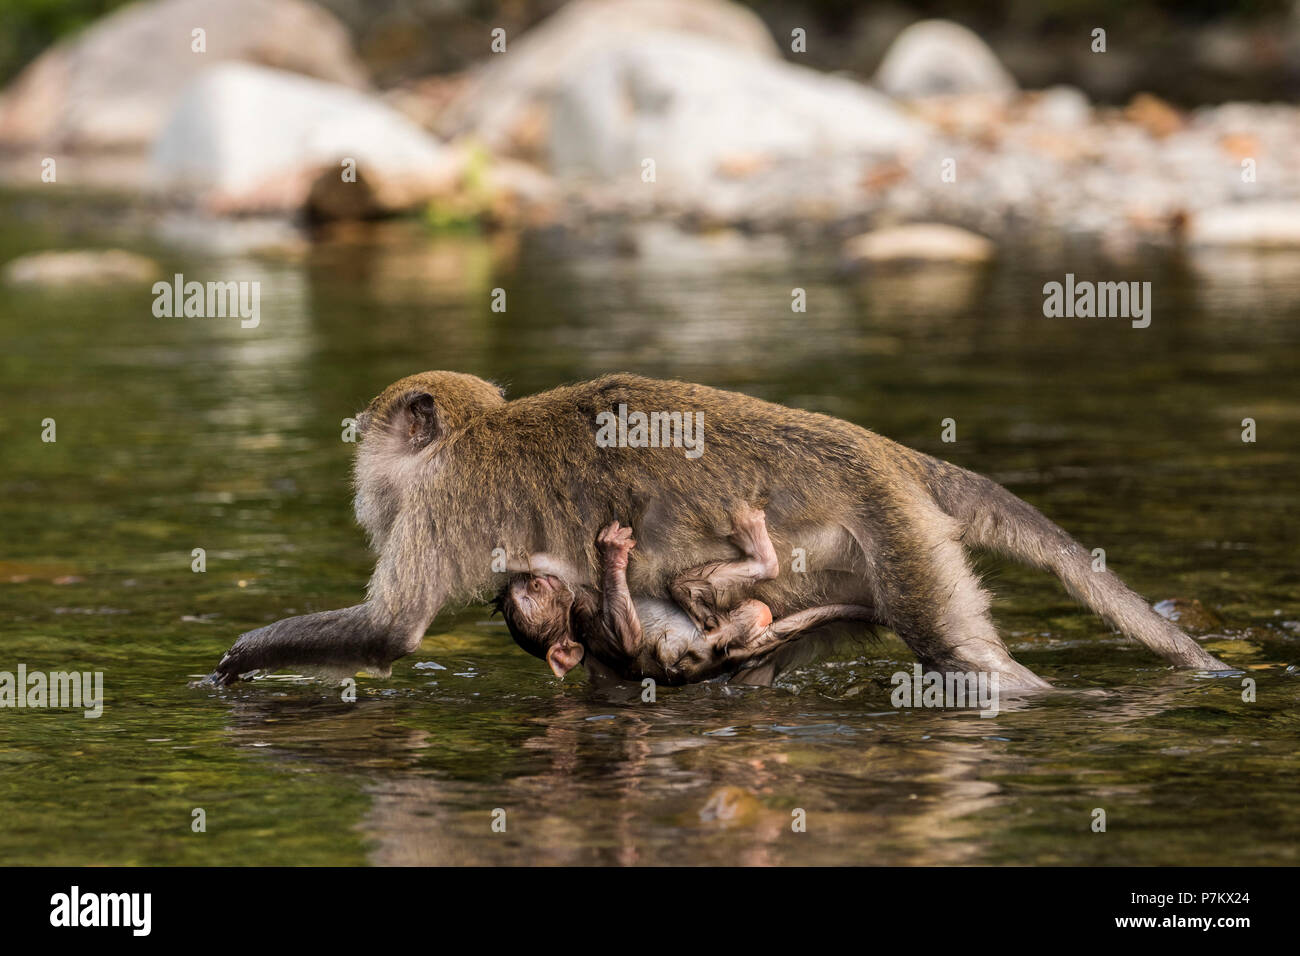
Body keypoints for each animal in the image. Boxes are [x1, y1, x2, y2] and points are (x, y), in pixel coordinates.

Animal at [498, 510, 875, 685]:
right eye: (535, 591)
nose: (534, 577)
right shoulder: (587, 618)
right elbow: (628, 641)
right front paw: (612, 551)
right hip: (719, 631)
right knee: (684, 585)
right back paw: (759, 545)